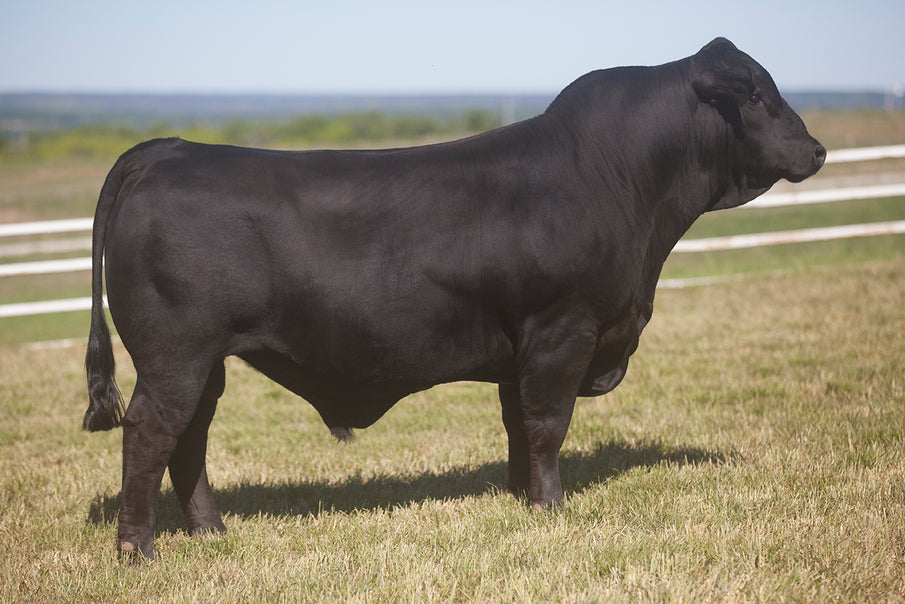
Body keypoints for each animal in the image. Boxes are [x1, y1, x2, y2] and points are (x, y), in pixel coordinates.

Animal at [84, 38, 825, 560]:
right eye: (754, 95)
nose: (816, 150)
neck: (621, 183)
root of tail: (171, 149)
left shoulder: (521, 346)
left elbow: (518, 426)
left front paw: (520, 497)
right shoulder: (563, 330)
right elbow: (548, 424)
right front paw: (551, 508)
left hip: (204, 361)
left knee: (189, 437)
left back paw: (211, 532)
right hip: (176, 354)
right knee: (150, 431)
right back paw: (138, 550)